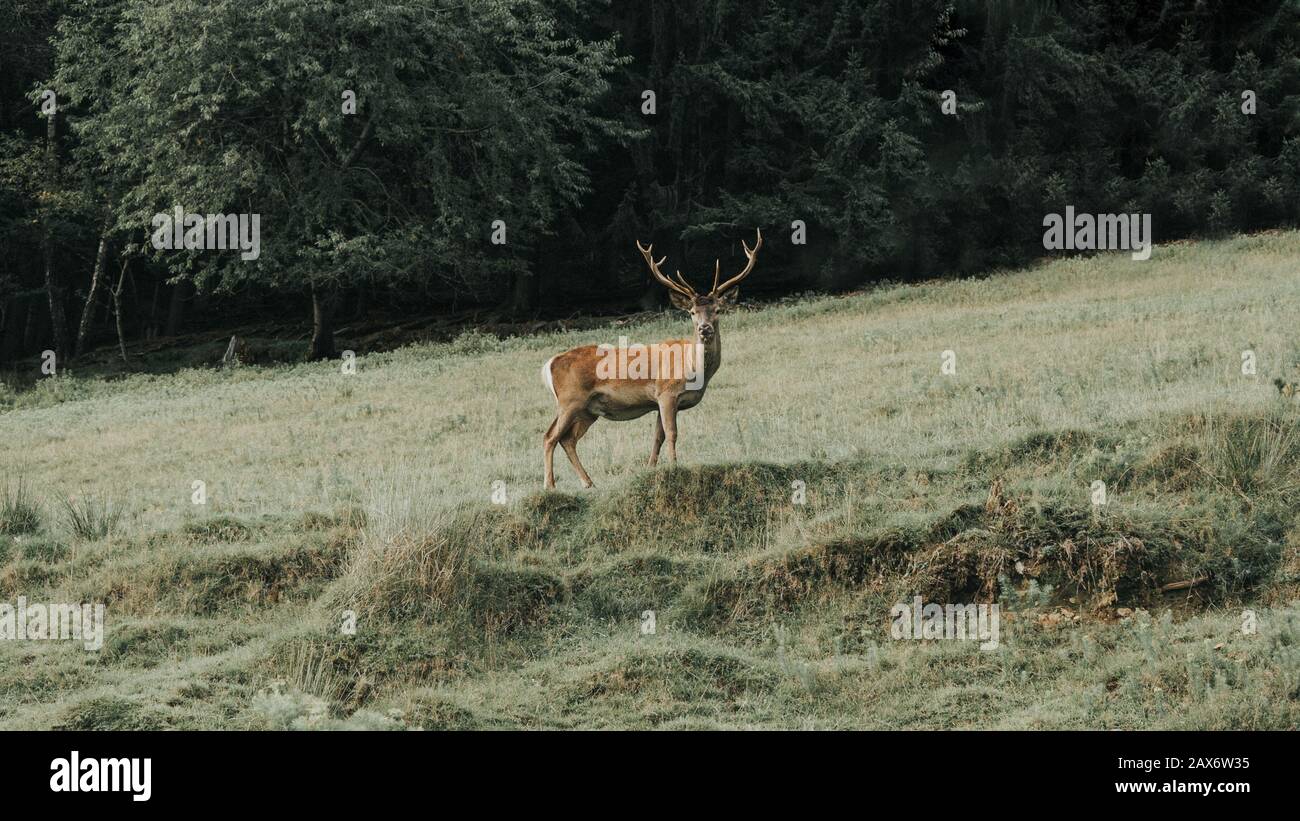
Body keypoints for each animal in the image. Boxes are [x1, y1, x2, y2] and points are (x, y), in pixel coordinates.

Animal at [541, 228, 762, 488]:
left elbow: (658, 436)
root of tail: (550, 364)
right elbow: (672, 433)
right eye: (691, 312)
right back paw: (550, 485)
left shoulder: (659, 401)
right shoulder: (667, 393)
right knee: (549, 436)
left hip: (588, 409)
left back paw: (589, 483)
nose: (704, 329)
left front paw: (651, 469)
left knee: (568, 439)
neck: (694, 369)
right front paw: (674, 468)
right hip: (569, 400)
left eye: (717, 310)